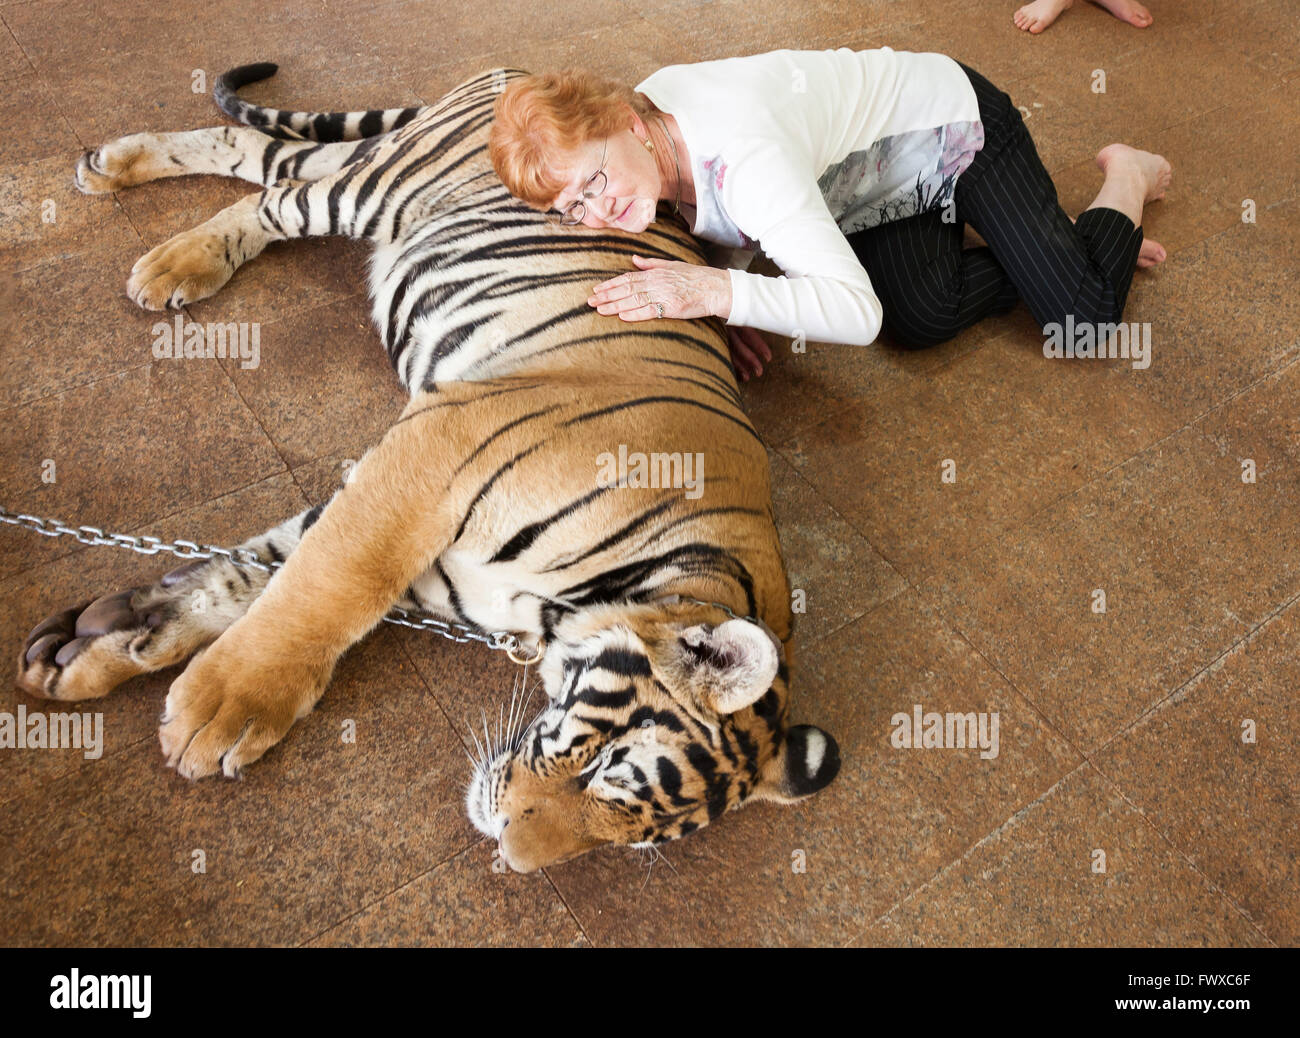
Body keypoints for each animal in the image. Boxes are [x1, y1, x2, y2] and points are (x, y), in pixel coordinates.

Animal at [15, 64, 840, 872]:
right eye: (610, 768)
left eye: (632, 840)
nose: (511, 856)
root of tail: (525, 74)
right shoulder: (436, 448)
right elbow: (325, 591)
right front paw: (224, 709)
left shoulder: (431, 553)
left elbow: (249, 577)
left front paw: (95, 652)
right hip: (378, 189)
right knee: (275, 194)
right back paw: (170, 261)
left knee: (254, 151)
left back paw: (112, 168)